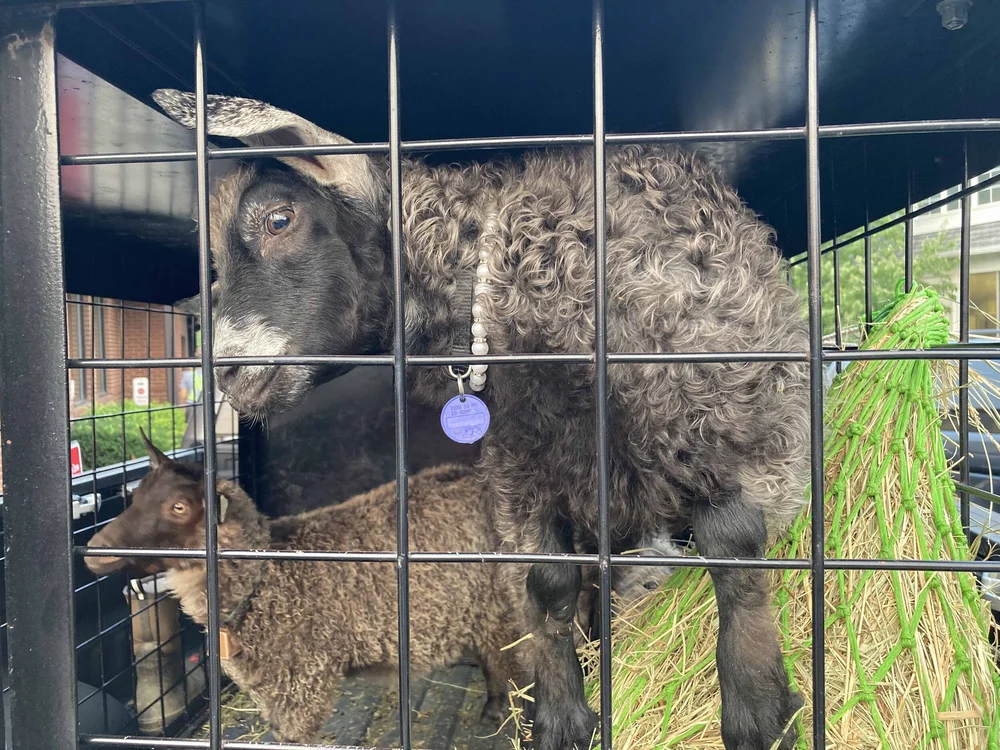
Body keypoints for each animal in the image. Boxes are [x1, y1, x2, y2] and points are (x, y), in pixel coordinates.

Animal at [85, 433, 524, 743]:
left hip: (501, 605)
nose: (94, 551)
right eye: (136, 495)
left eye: (179, 507)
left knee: (504, 657)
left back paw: (499, 710)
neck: (264, 580)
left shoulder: (301, 683)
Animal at [152, 89, 810, 750]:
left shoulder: (730, 414)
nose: (225, 373)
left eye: (279, 220)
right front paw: (561, 717)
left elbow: (732, 549)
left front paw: (758, 710)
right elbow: (548, 586)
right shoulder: (522, 470)